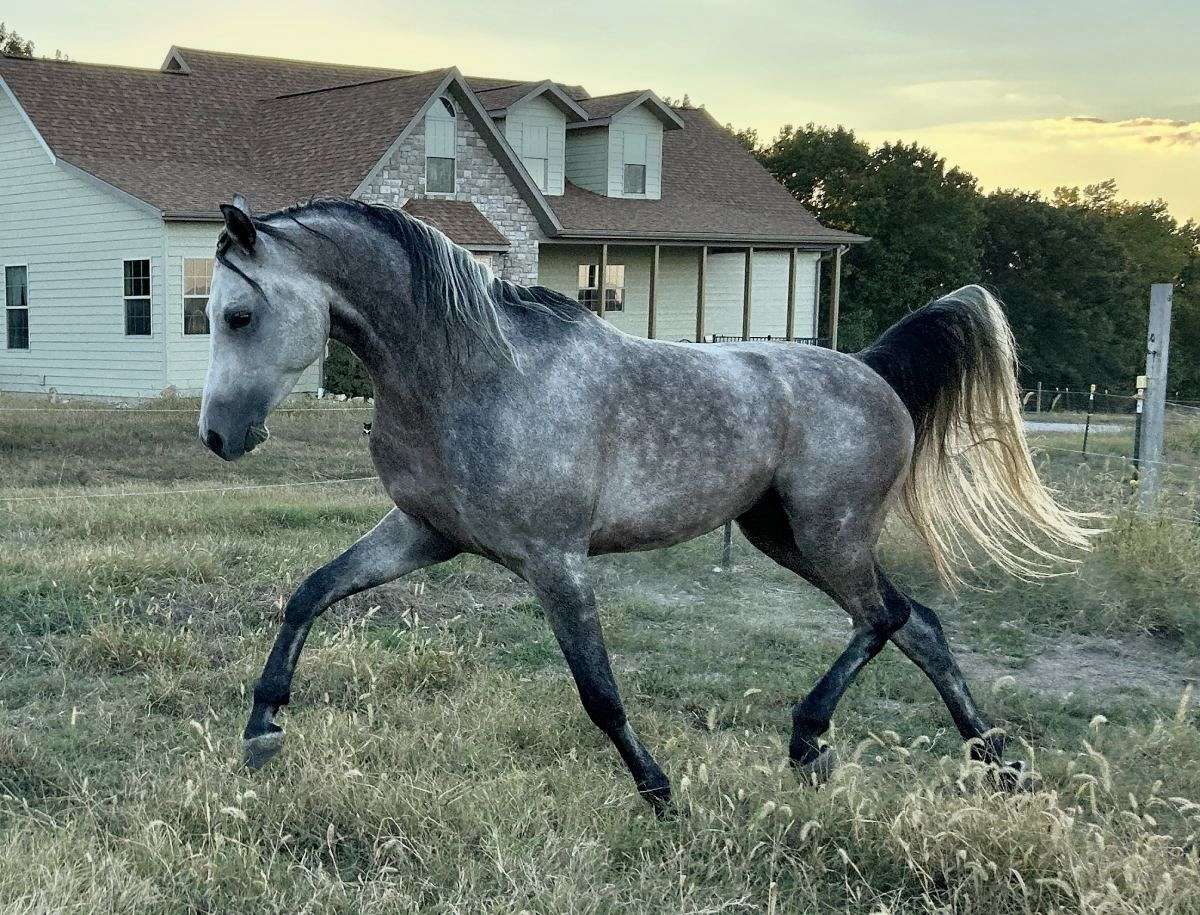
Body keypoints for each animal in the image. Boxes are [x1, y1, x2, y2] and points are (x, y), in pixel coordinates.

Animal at [199, 197, 1092, 808]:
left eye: (238, 313)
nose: (218, 434)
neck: (470, 375)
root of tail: (872, 371)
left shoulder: (554, 561)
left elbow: (598, 690)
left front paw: (660, 792)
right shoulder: (423, 533)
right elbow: (310, 591)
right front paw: (263, 728)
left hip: (828, 534)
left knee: (886, 618)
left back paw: (811, 741)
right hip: (784, 536)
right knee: (922, 627)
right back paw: (996, 762)